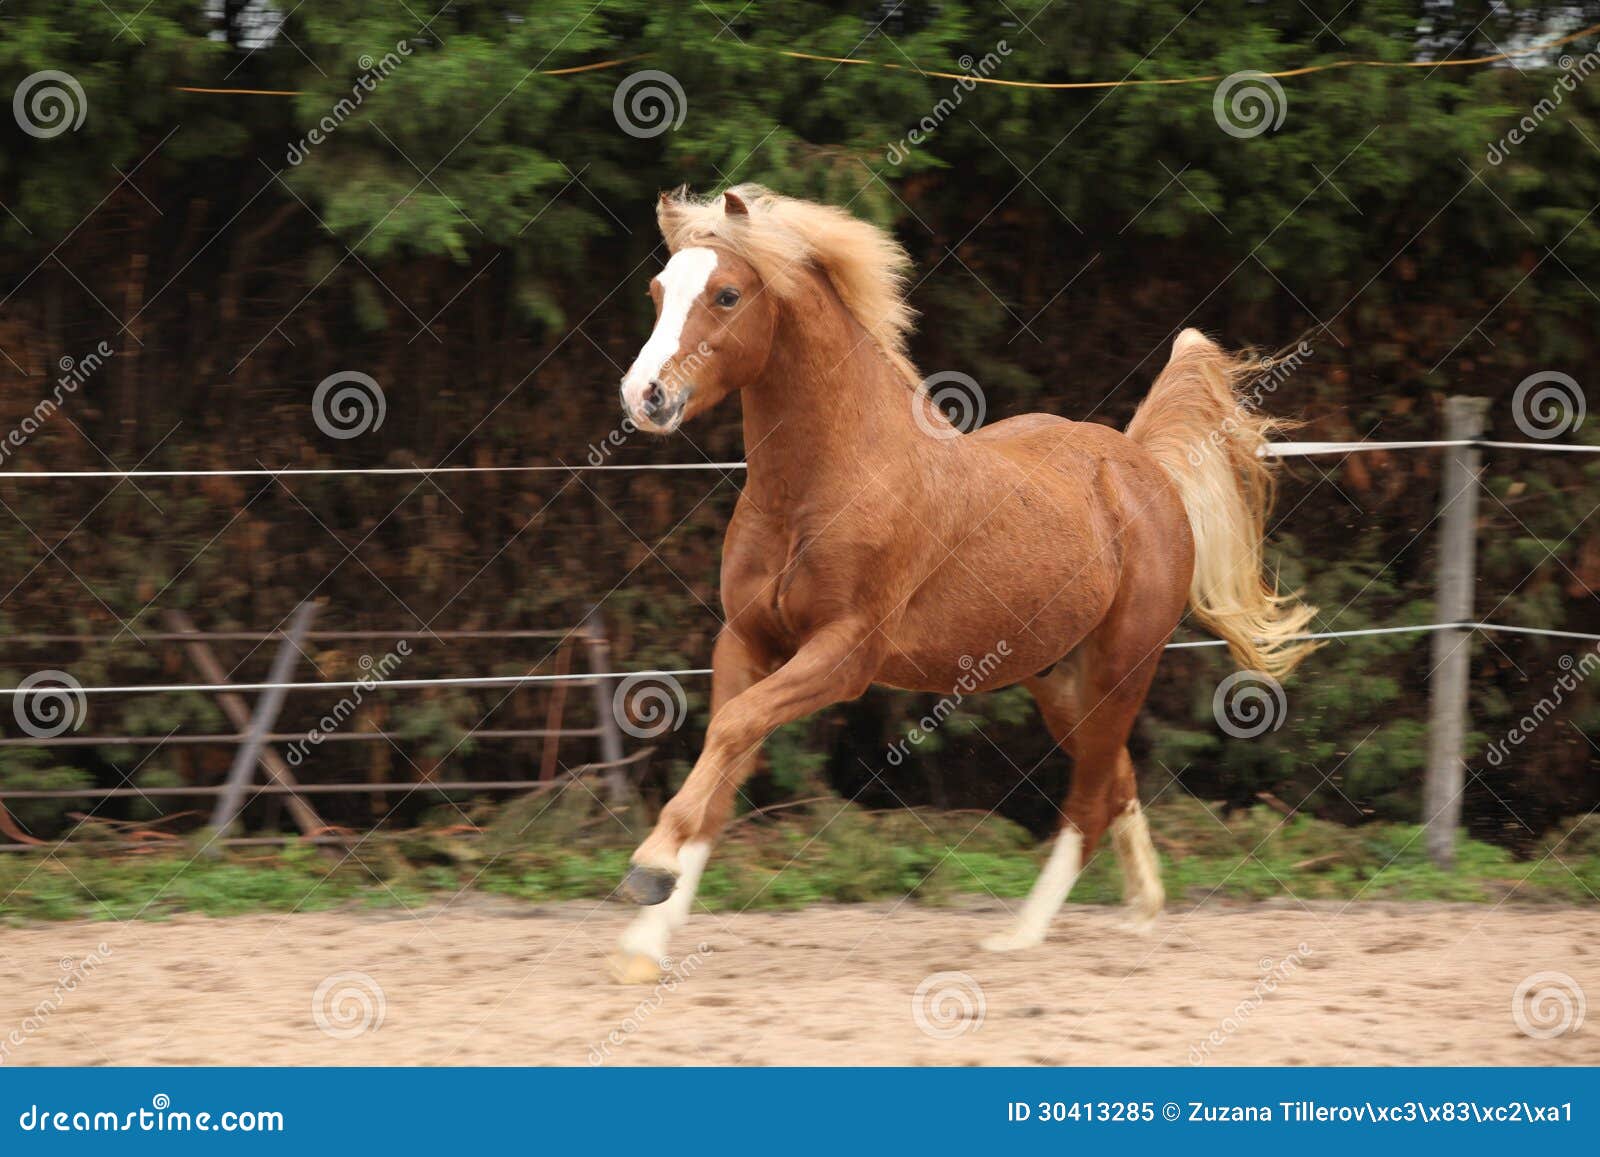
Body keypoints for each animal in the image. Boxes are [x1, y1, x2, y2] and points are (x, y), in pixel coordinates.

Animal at [607, 185, 1315, 983]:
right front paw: (645, 939)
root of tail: (1143, 465)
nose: (645, 395)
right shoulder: (747, 640)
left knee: (1089, 798)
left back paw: (1019, 935)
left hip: (1124, 663)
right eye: (658, 291)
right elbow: (724, 758)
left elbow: (731, 730)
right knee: (1115, 777)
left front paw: (648, 869)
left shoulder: (844, 655)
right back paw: (1142, 908)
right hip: (1055, 675)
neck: (823, 486)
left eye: (727, 294)